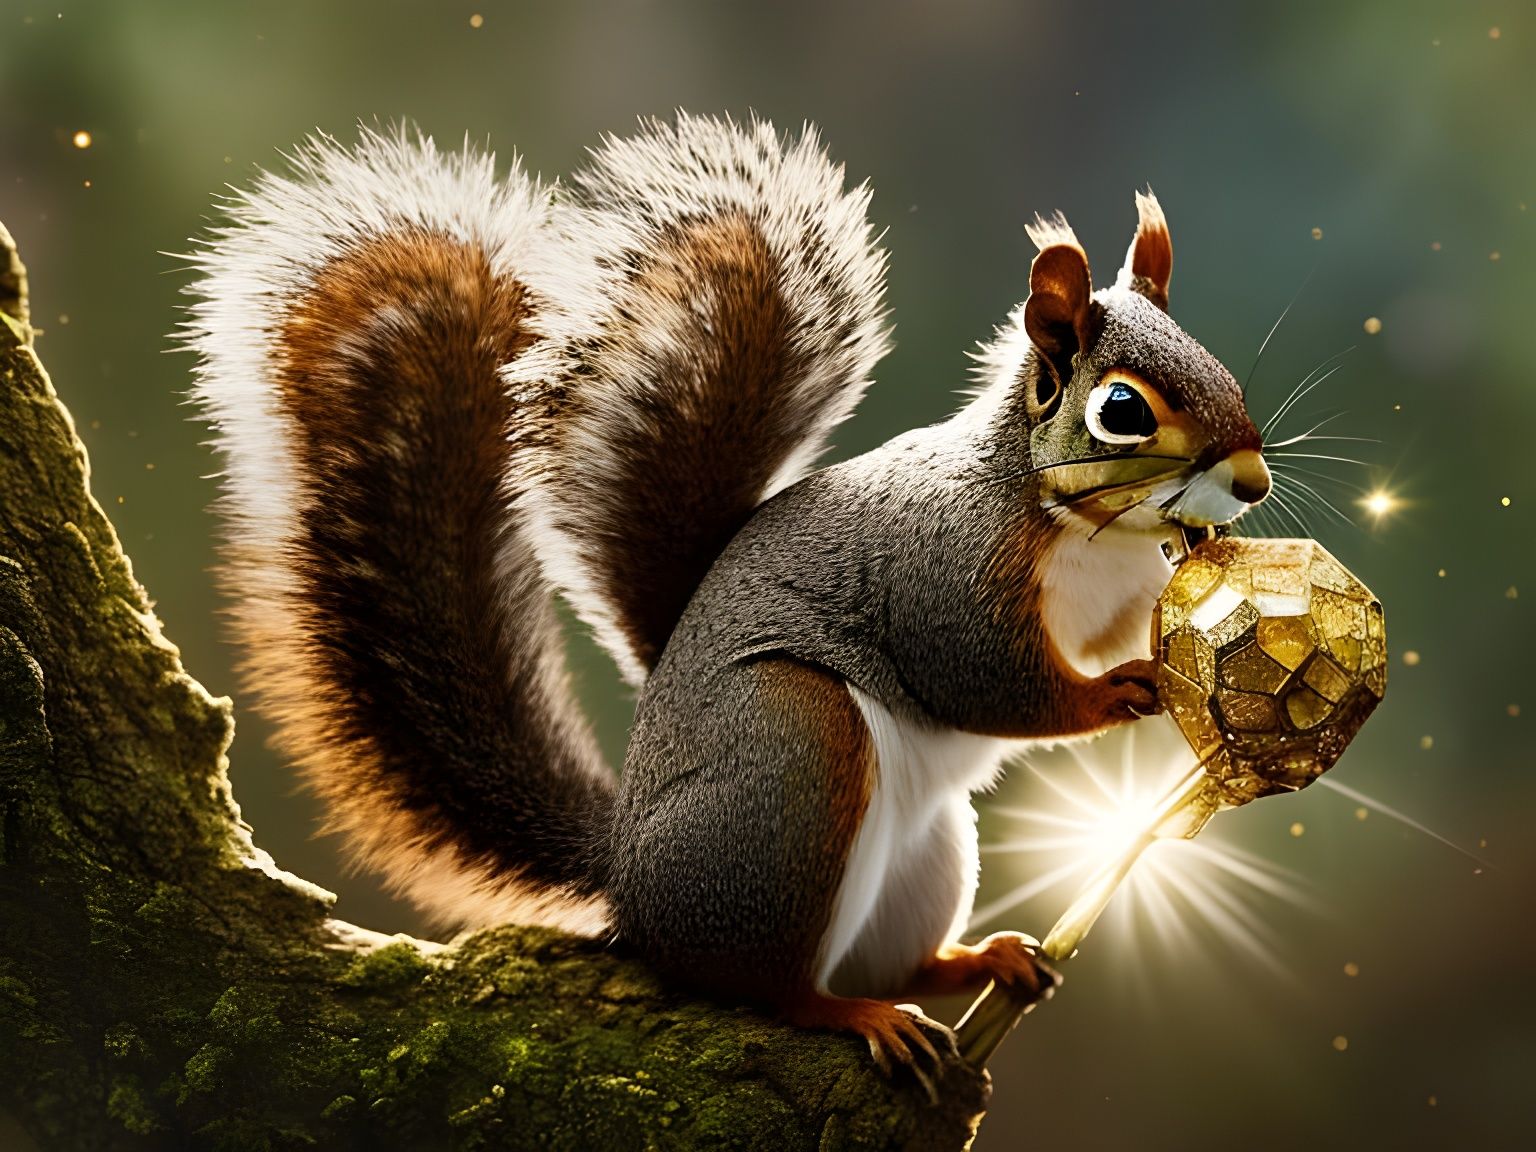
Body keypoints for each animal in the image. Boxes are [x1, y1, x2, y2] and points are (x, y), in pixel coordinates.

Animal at [184, 114, 1271, 1075]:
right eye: (1121, 410)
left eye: (1223, 367)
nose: (1253, 483)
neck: (1088, 528)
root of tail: (627, 879)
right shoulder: (946, 574)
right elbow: (989, 679)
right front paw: (1118, 693)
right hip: (791, 755)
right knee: (763, 985)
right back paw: (856, 1017)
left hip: (923, 857)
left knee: (893, 956)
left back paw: (981, 961)